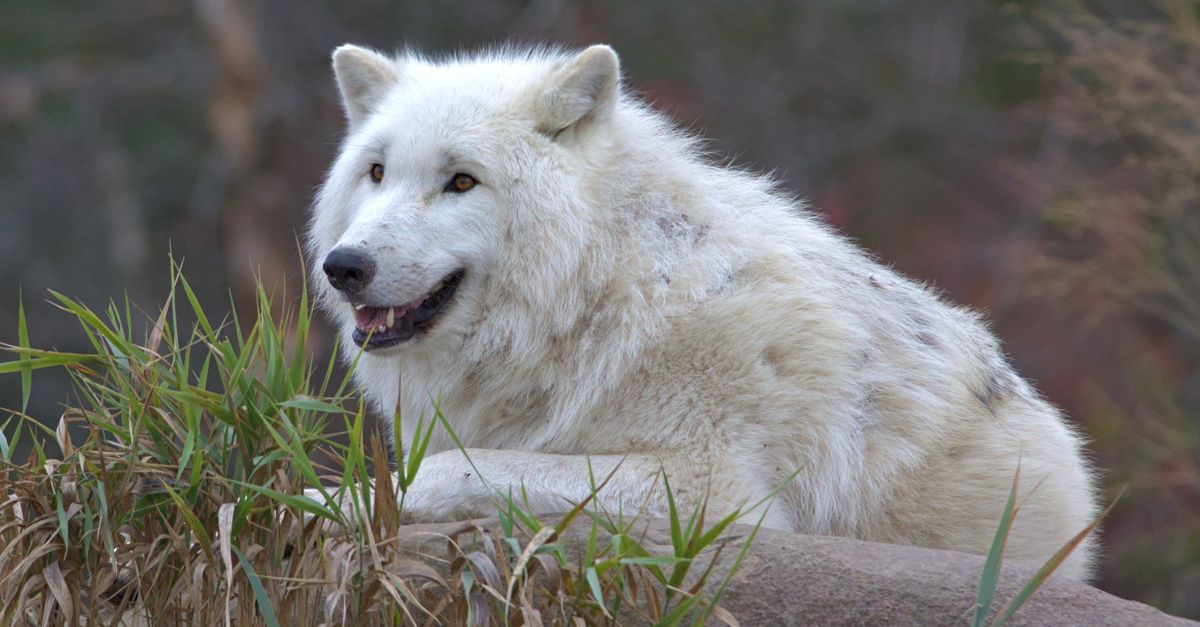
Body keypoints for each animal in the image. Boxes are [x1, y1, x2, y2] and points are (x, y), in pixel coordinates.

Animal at [306, 44, 1099, 578]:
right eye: (376, 172)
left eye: (462, 181)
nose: (345, 266)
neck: (597, 296)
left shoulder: (712, 492)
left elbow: (451, 471)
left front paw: (334, 499)